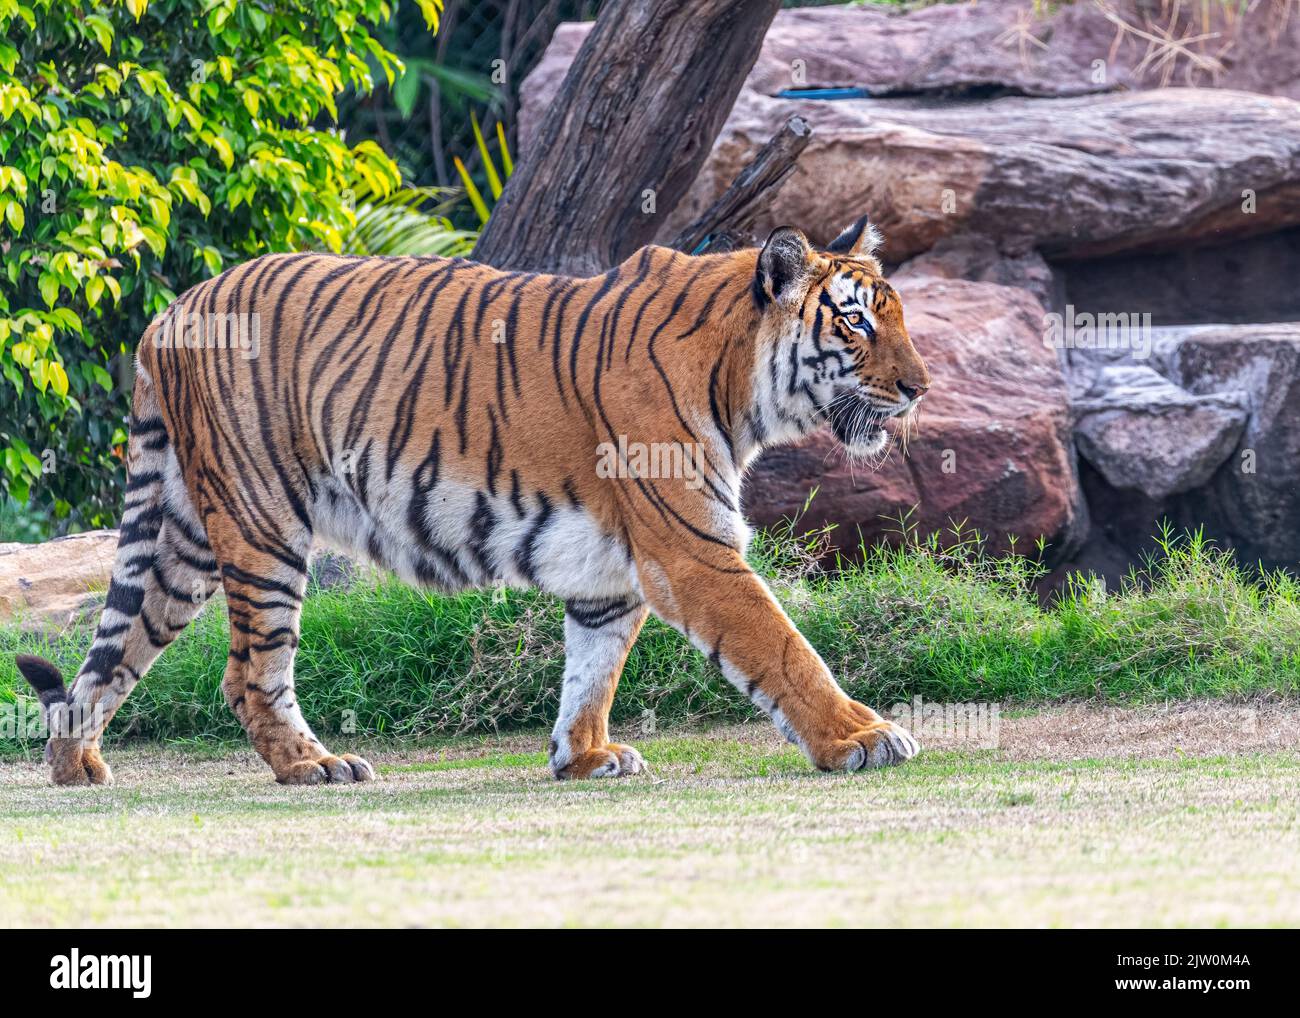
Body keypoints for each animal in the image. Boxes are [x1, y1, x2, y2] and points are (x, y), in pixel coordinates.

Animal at [16, 214, 931, 786]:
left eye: (897, 317)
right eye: (856, 324)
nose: (921, 388)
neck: (741, 384)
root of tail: (172, 310)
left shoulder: (612, 575)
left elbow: (592, 669)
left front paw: (582, 758)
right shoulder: (693, 552)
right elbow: (785, 649)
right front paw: (864, 736)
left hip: (183, 539)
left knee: (114, 650)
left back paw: (74, 767)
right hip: (261, 524)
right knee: (249, 673)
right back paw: (313, 765)